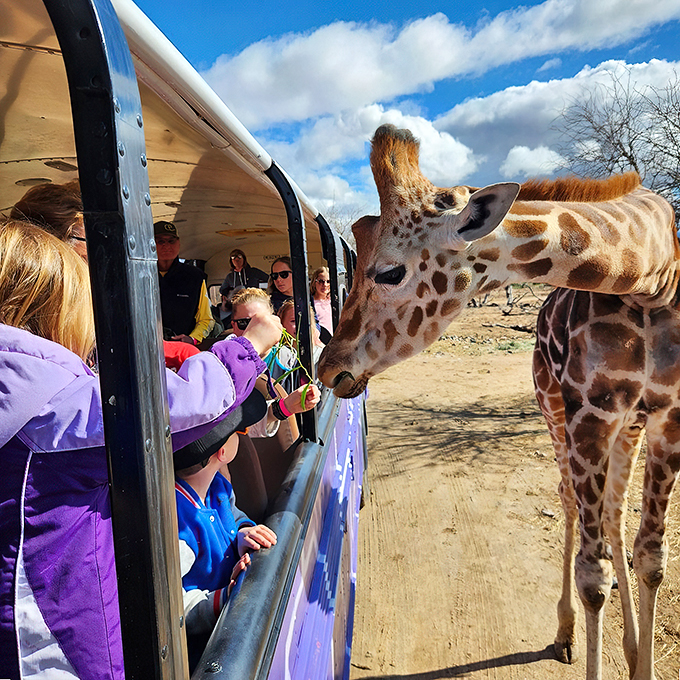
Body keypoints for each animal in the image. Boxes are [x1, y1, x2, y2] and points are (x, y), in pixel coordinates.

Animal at [317, 124, 680, 680]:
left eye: (389, 272)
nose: (327, 368)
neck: (652, 274)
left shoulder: (668, 418)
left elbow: (652, 559)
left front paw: (643, 662)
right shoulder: (589, 410)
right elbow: (592, 578)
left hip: (628, 423)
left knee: (614, 512)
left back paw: (632, 645)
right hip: (554, 406)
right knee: (572, 499)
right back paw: (565, 633)